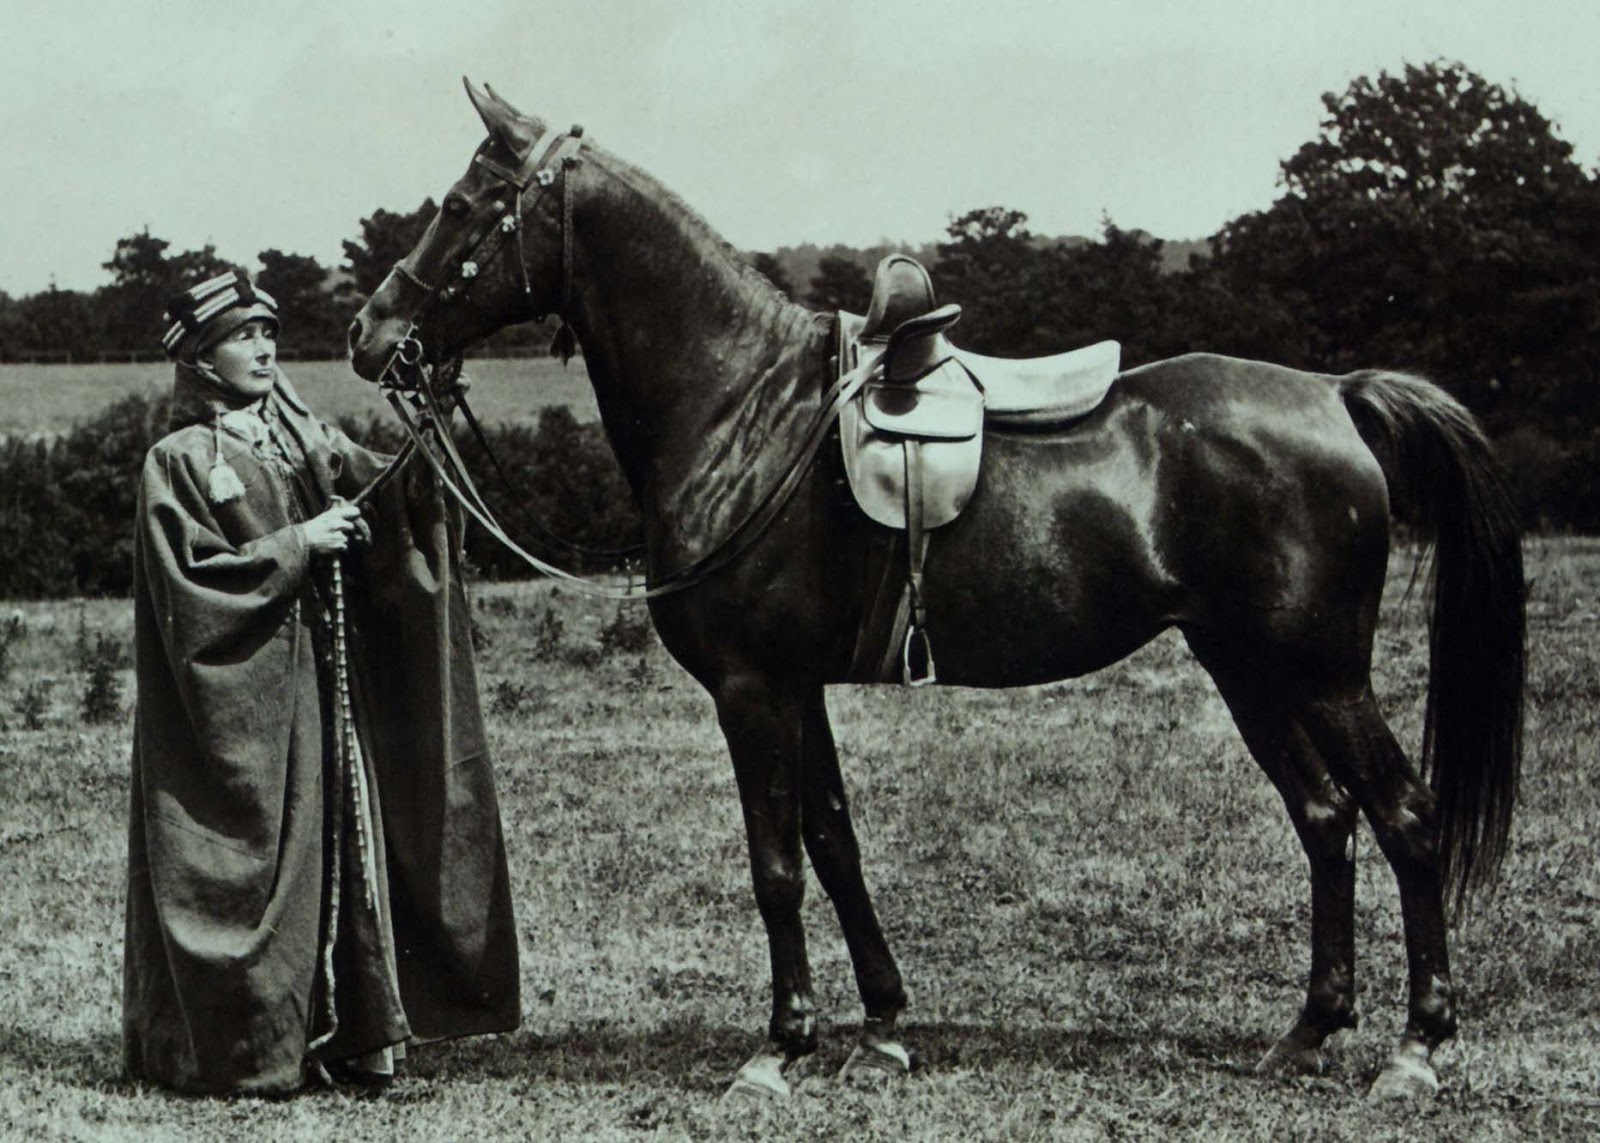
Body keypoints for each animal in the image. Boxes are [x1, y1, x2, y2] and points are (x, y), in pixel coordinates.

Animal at [348, 81, 1525, 1102]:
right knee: (1325, 818)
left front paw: (779, 1047)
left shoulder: (751, 688)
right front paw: (879, 1027)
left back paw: (1417, 1048)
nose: (369, 334)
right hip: (1246, 665)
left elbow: (775, 863)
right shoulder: (797, 686)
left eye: (463, 206)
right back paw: (1308, 1031)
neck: (742, 410)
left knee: (1405, 817)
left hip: (1321, 671)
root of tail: (1335, 395)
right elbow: (833, 842)